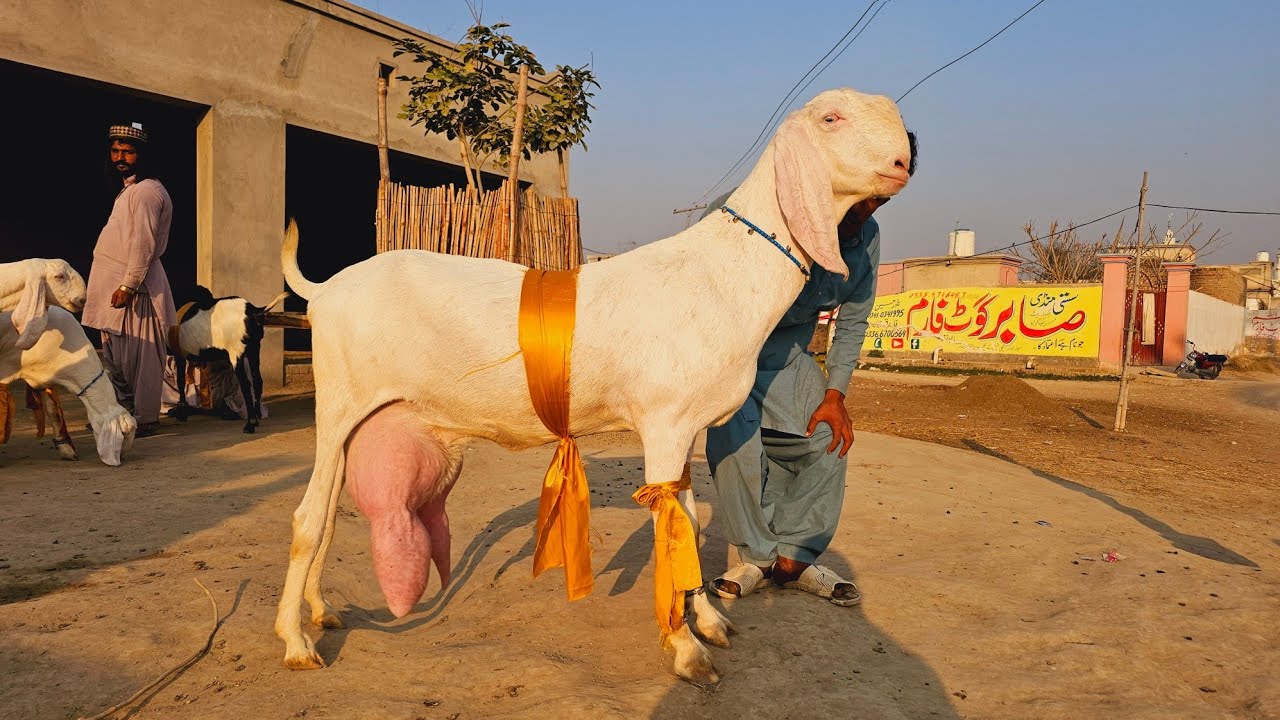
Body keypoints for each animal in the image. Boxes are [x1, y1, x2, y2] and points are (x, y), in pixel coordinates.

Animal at [168, 285, 288, 433]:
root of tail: (252, 310)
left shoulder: (179, 354)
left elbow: (180, 382)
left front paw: (182, 414)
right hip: (254, 349)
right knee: (257, 381)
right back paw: (257, 417)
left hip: (236, 353)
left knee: (246, 385)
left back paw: (250, 424)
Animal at [274, 88, 911, 683]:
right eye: (831, 118)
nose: (908, 155)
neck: (723, 274)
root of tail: (323, 290)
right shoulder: (663, 422)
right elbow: (670, 525)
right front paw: (686, 650)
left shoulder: (683, 429)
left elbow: (686, 518)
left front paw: (709, 621)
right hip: (339, 400)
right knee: (307, 519)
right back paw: (297, 642)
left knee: (329, 512)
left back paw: (323, 611)